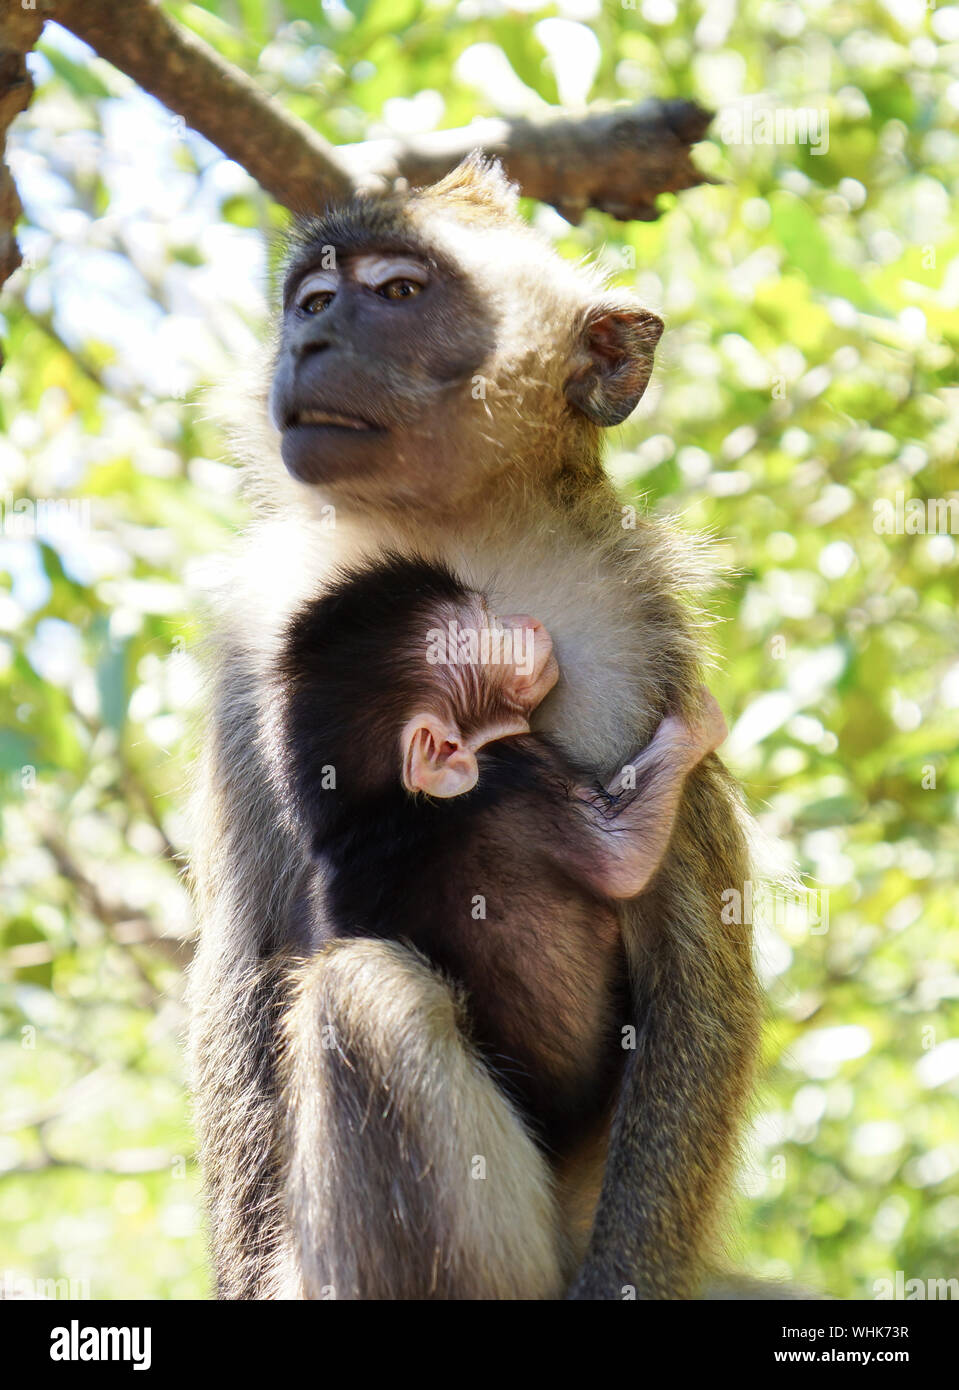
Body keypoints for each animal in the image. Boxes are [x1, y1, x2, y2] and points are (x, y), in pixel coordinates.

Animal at [269, 553, 728, 1177]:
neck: (381, 808)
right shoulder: (522, 774)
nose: (524, 623)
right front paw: (696, 723)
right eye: (484, 630)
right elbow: (621, 859)